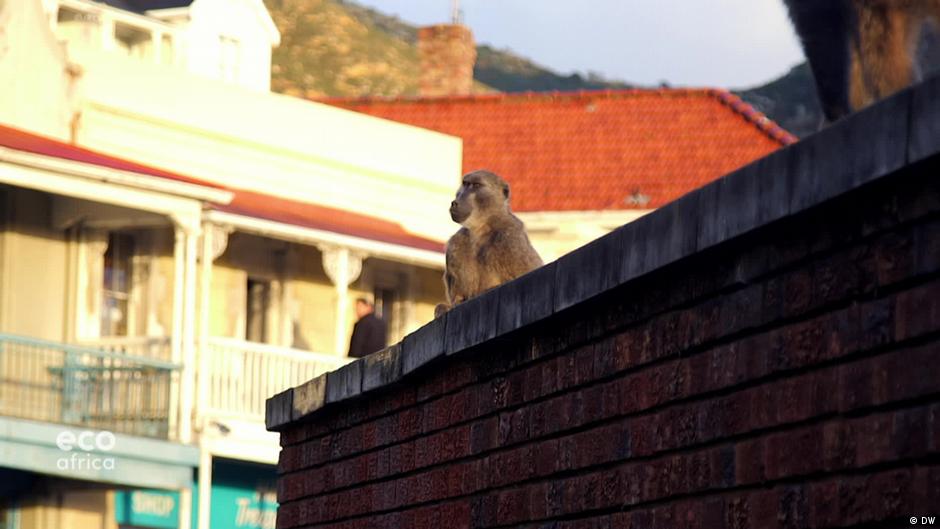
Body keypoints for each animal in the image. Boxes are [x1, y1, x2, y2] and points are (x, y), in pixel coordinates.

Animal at [434, 170, 543, 318]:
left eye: (476, 185)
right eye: (465, 184)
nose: (455, 202)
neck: (482, 228)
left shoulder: (510, 238)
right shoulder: (455, 244)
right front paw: (446, 307)